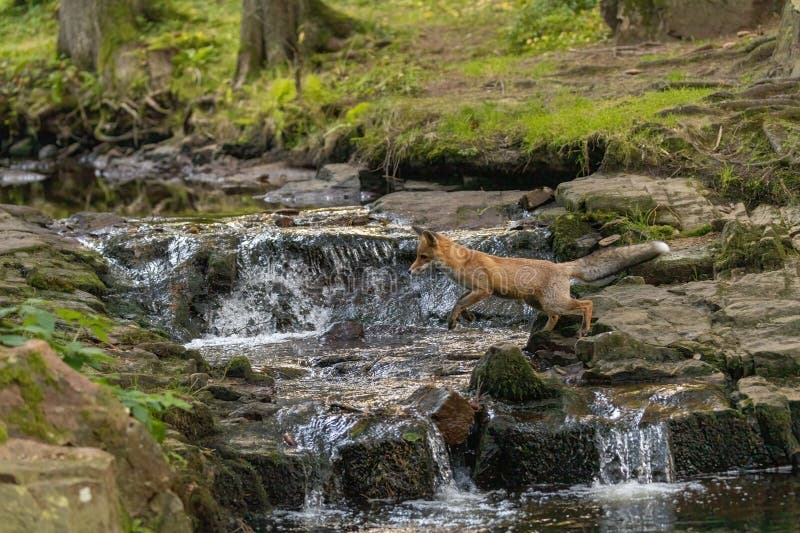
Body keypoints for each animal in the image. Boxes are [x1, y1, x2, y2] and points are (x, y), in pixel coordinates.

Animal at [408, 226, 669, 337]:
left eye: (423, 257)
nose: (410, 271)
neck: (461, 263)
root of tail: (561, 265)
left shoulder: (484, 289)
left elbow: (460, 302)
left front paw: (455, 319)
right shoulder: (474, 290)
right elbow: (458, 301)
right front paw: (463, 318)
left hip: (554, 302)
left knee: (587, 304)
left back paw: (584, 329)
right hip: (537, 303)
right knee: (555, 317)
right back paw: (542, 334)